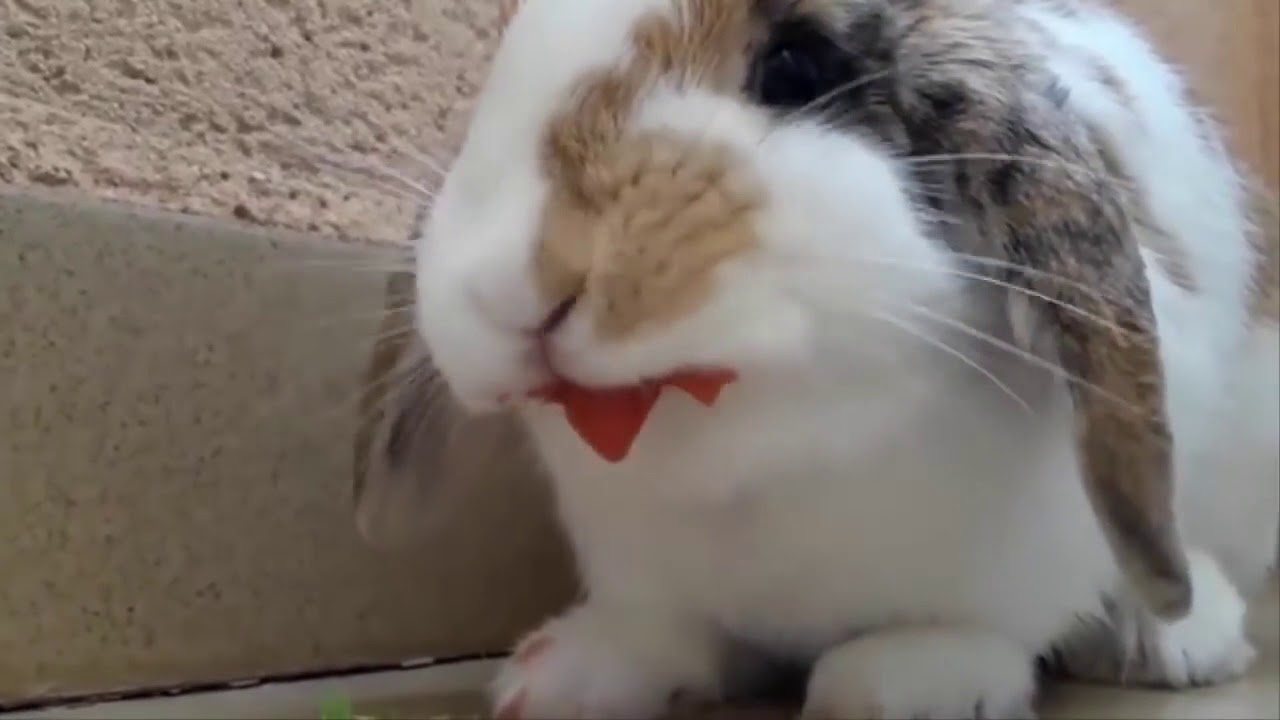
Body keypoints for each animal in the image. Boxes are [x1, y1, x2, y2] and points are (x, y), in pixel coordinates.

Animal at [363, 0, 1280, 717]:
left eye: (797, 67)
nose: (512, 288)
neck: (748, 474)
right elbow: (670, 631)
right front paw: (558, 676)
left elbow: (974, 623)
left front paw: (898, 683)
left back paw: (1178, 637)